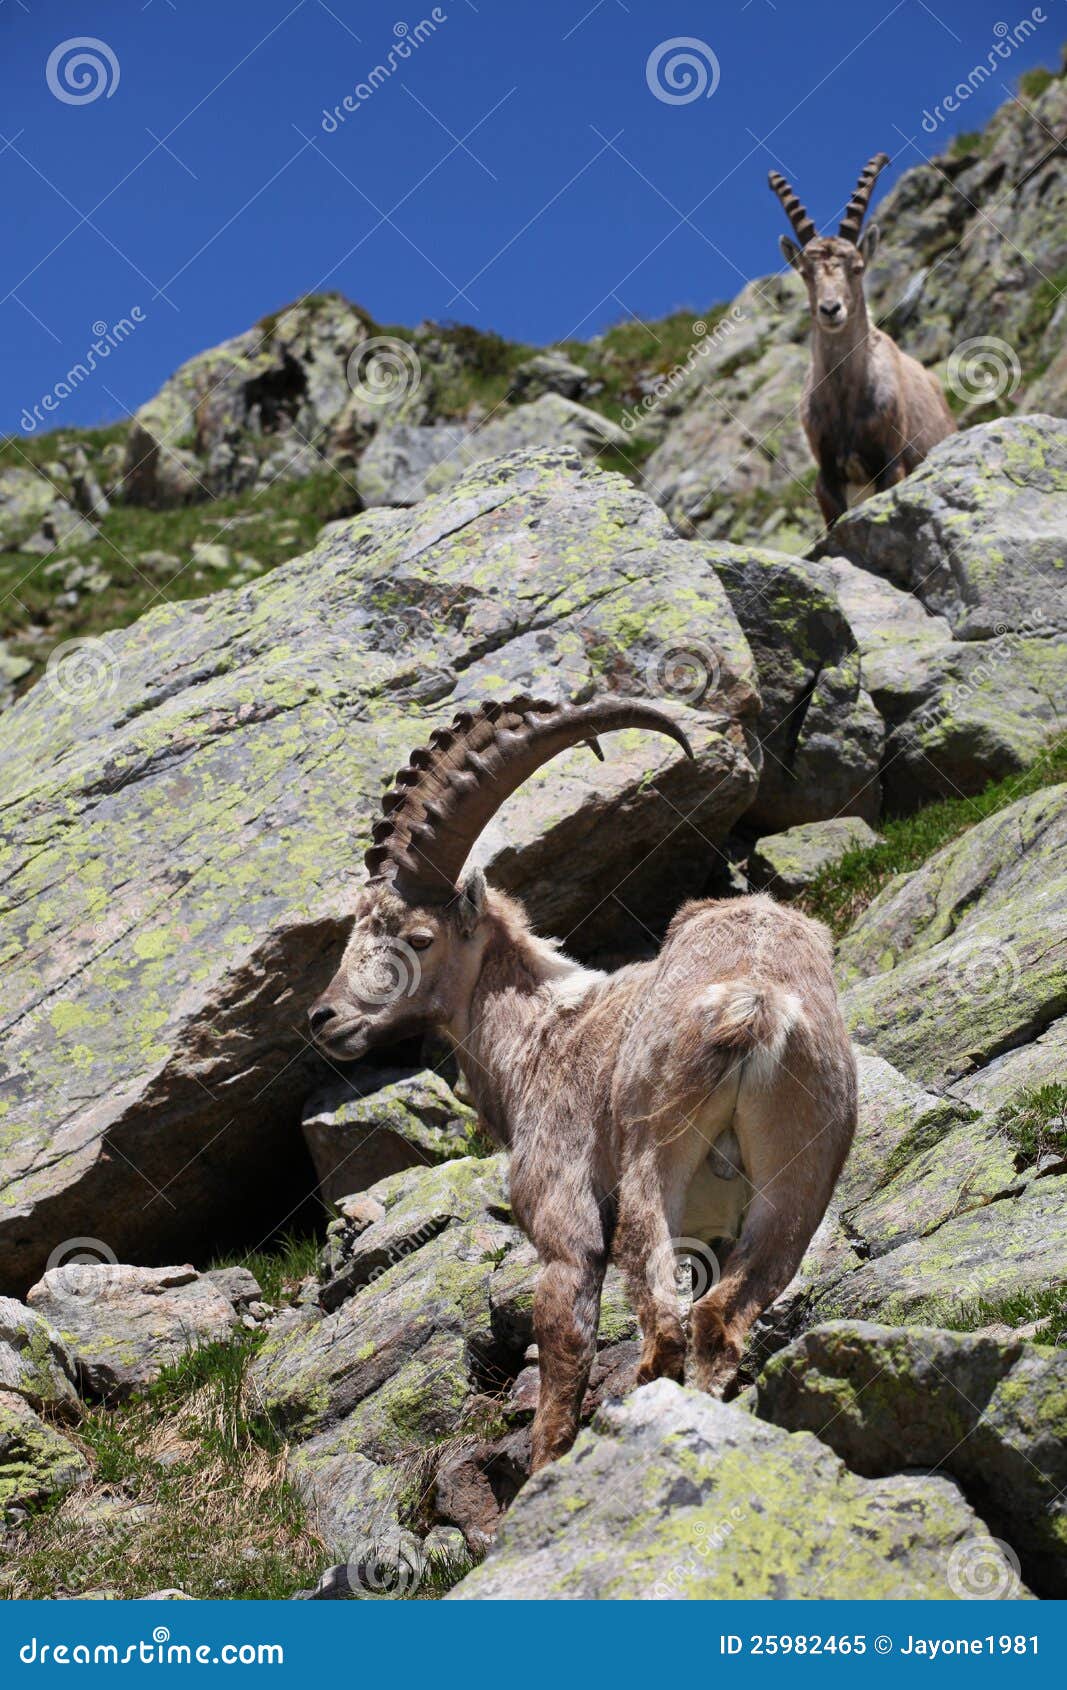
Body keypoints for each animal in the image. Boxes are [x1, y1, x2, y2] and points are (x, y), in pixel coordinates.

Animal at [309, 697, 857, 1471]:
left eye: (416, 938)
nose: (323, 1019)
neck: (542, 1036)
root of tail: (756, 1003)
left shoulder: (564, 1229)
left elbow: (562, 1361)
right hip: (798, 1180)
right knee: (719, 1321)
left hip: (652, 1160)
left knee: (664, 1330)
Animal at [770, 152, 956, 526]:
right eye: (806, 273)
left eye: (856, 268)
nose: (830, 309)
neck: (845, 399)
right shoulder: (827, 477)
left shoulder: (890, 464)